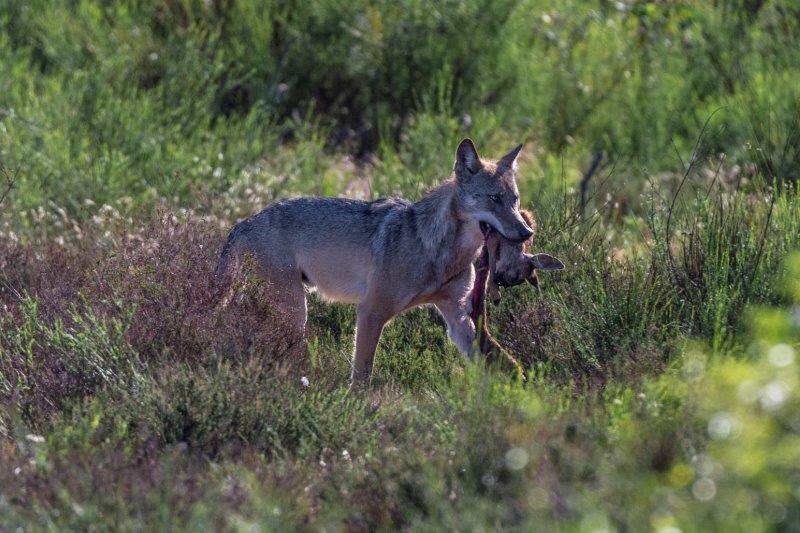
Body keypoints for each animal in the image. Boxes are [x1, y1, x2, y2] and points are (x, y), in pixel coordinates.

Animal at [216, 139, 533, 386]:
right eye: (494, 199)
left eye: (515, 200)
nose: (526, 232)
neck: (438, 250)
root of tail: (243, 222)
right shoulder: (371, 311)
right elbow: (362, 375)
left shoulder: (457, 315)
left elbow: (493, 357)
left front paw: (516, 386)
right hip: (295, 313)